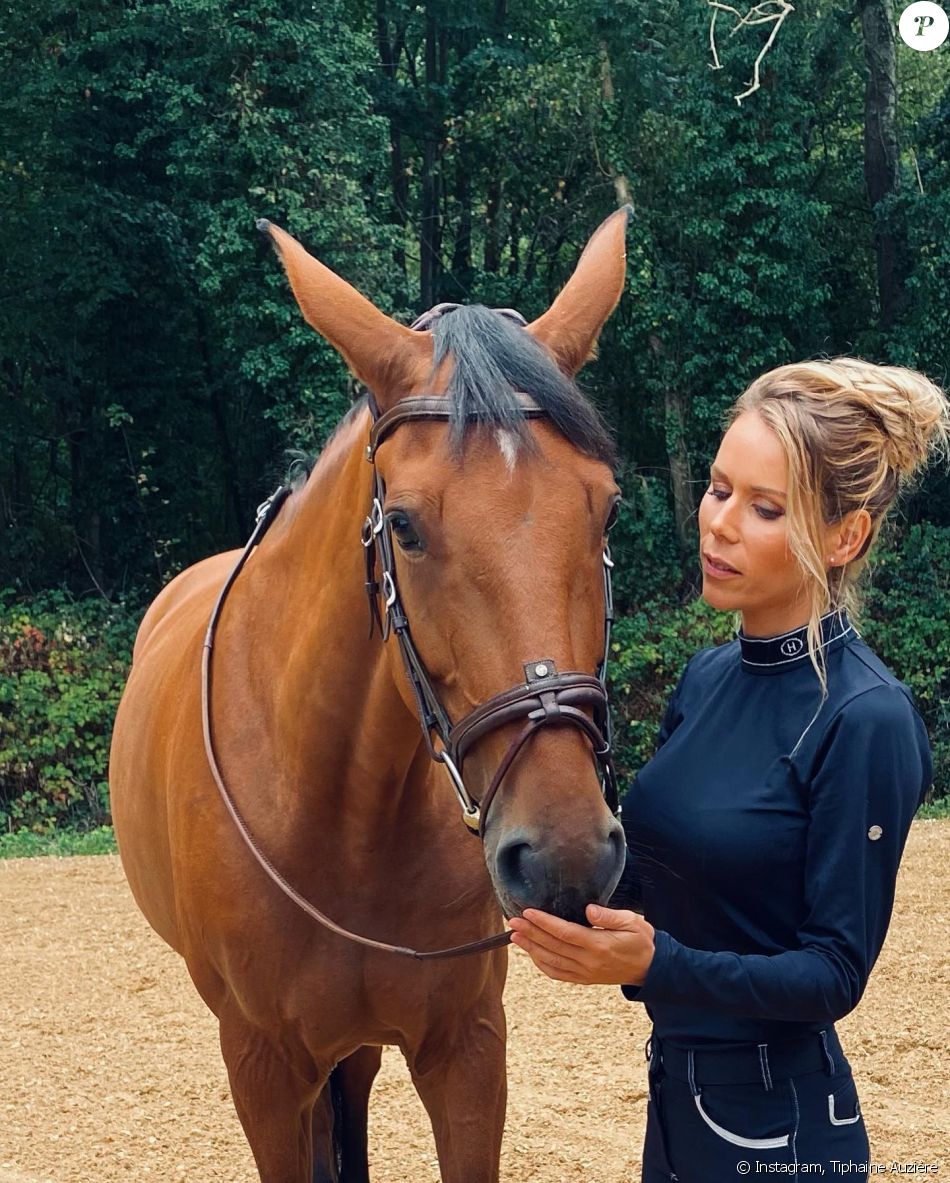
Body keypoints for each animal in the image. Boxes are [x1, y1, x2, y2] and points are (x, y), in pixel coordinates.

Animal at [109, 205, 631, 1183]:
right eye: (408, 527)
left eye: (607, 508)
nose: (565, 854)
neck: (339, 814)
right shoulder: (263, 1065)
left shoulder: (467, 1048)